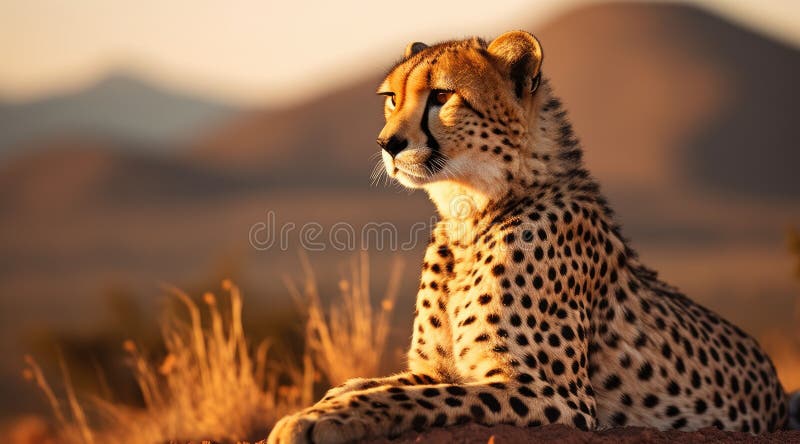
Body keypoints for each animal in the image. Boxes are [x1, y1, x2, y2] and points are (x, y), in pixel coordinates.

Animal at [267, 30, 789, 444]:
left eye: (441, 96)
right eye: (392, 98)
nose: (386, 144)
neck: (470, 216)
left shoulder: (554, 394)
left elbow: (415, 396)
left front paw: (314, 420)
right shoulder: (432, 367)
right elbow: (378, 382)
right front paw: (328, 401)